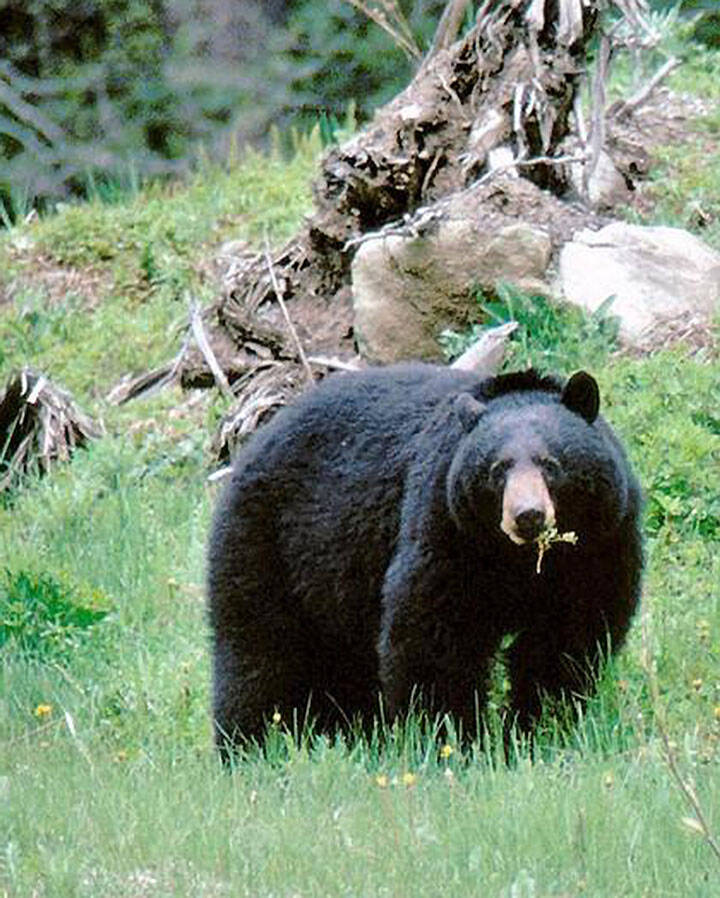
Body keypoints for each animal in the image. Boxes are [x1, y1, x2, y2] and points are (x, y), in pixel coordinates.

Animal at [207, 363, 643, 758]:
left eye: (551, 464)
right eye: (497, 470)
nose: (528, 515)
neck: (517, 560)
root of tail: (250, 446)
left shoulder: (603, 541)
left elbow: (568, 636)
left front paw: (538, 726)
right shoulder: (446, 525)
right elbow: (434, 633)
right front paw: (452, 736)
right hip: (268, 543)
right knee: (259, 653)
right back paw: (250, 746)